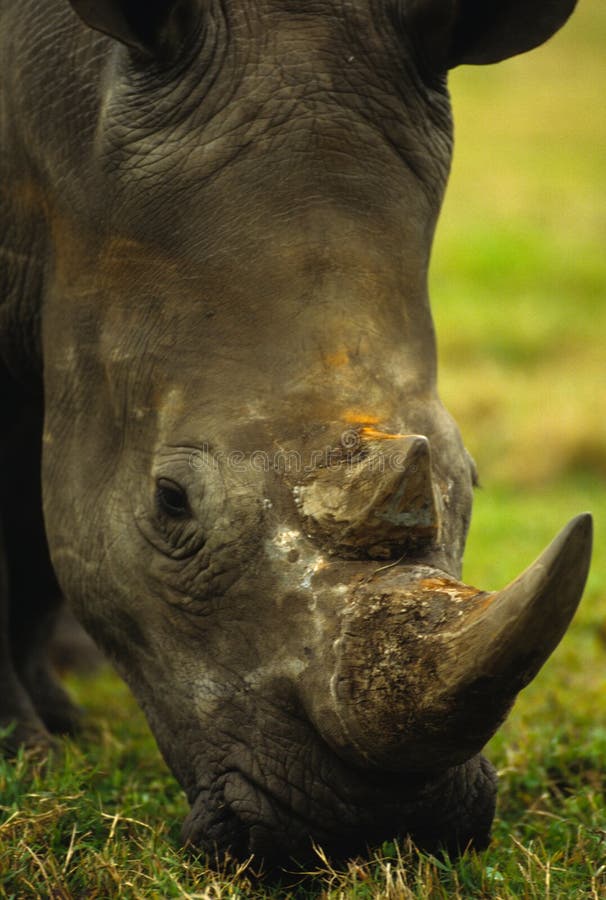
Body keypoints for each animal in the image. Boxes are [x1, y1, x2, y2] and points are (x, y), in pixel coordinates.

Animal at [0, 0, 593, 866]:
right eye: (170, 501)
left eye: (471, 478)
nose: (373, 824)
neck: (69, 118)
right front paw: (28, 752)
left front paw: (58, 731)